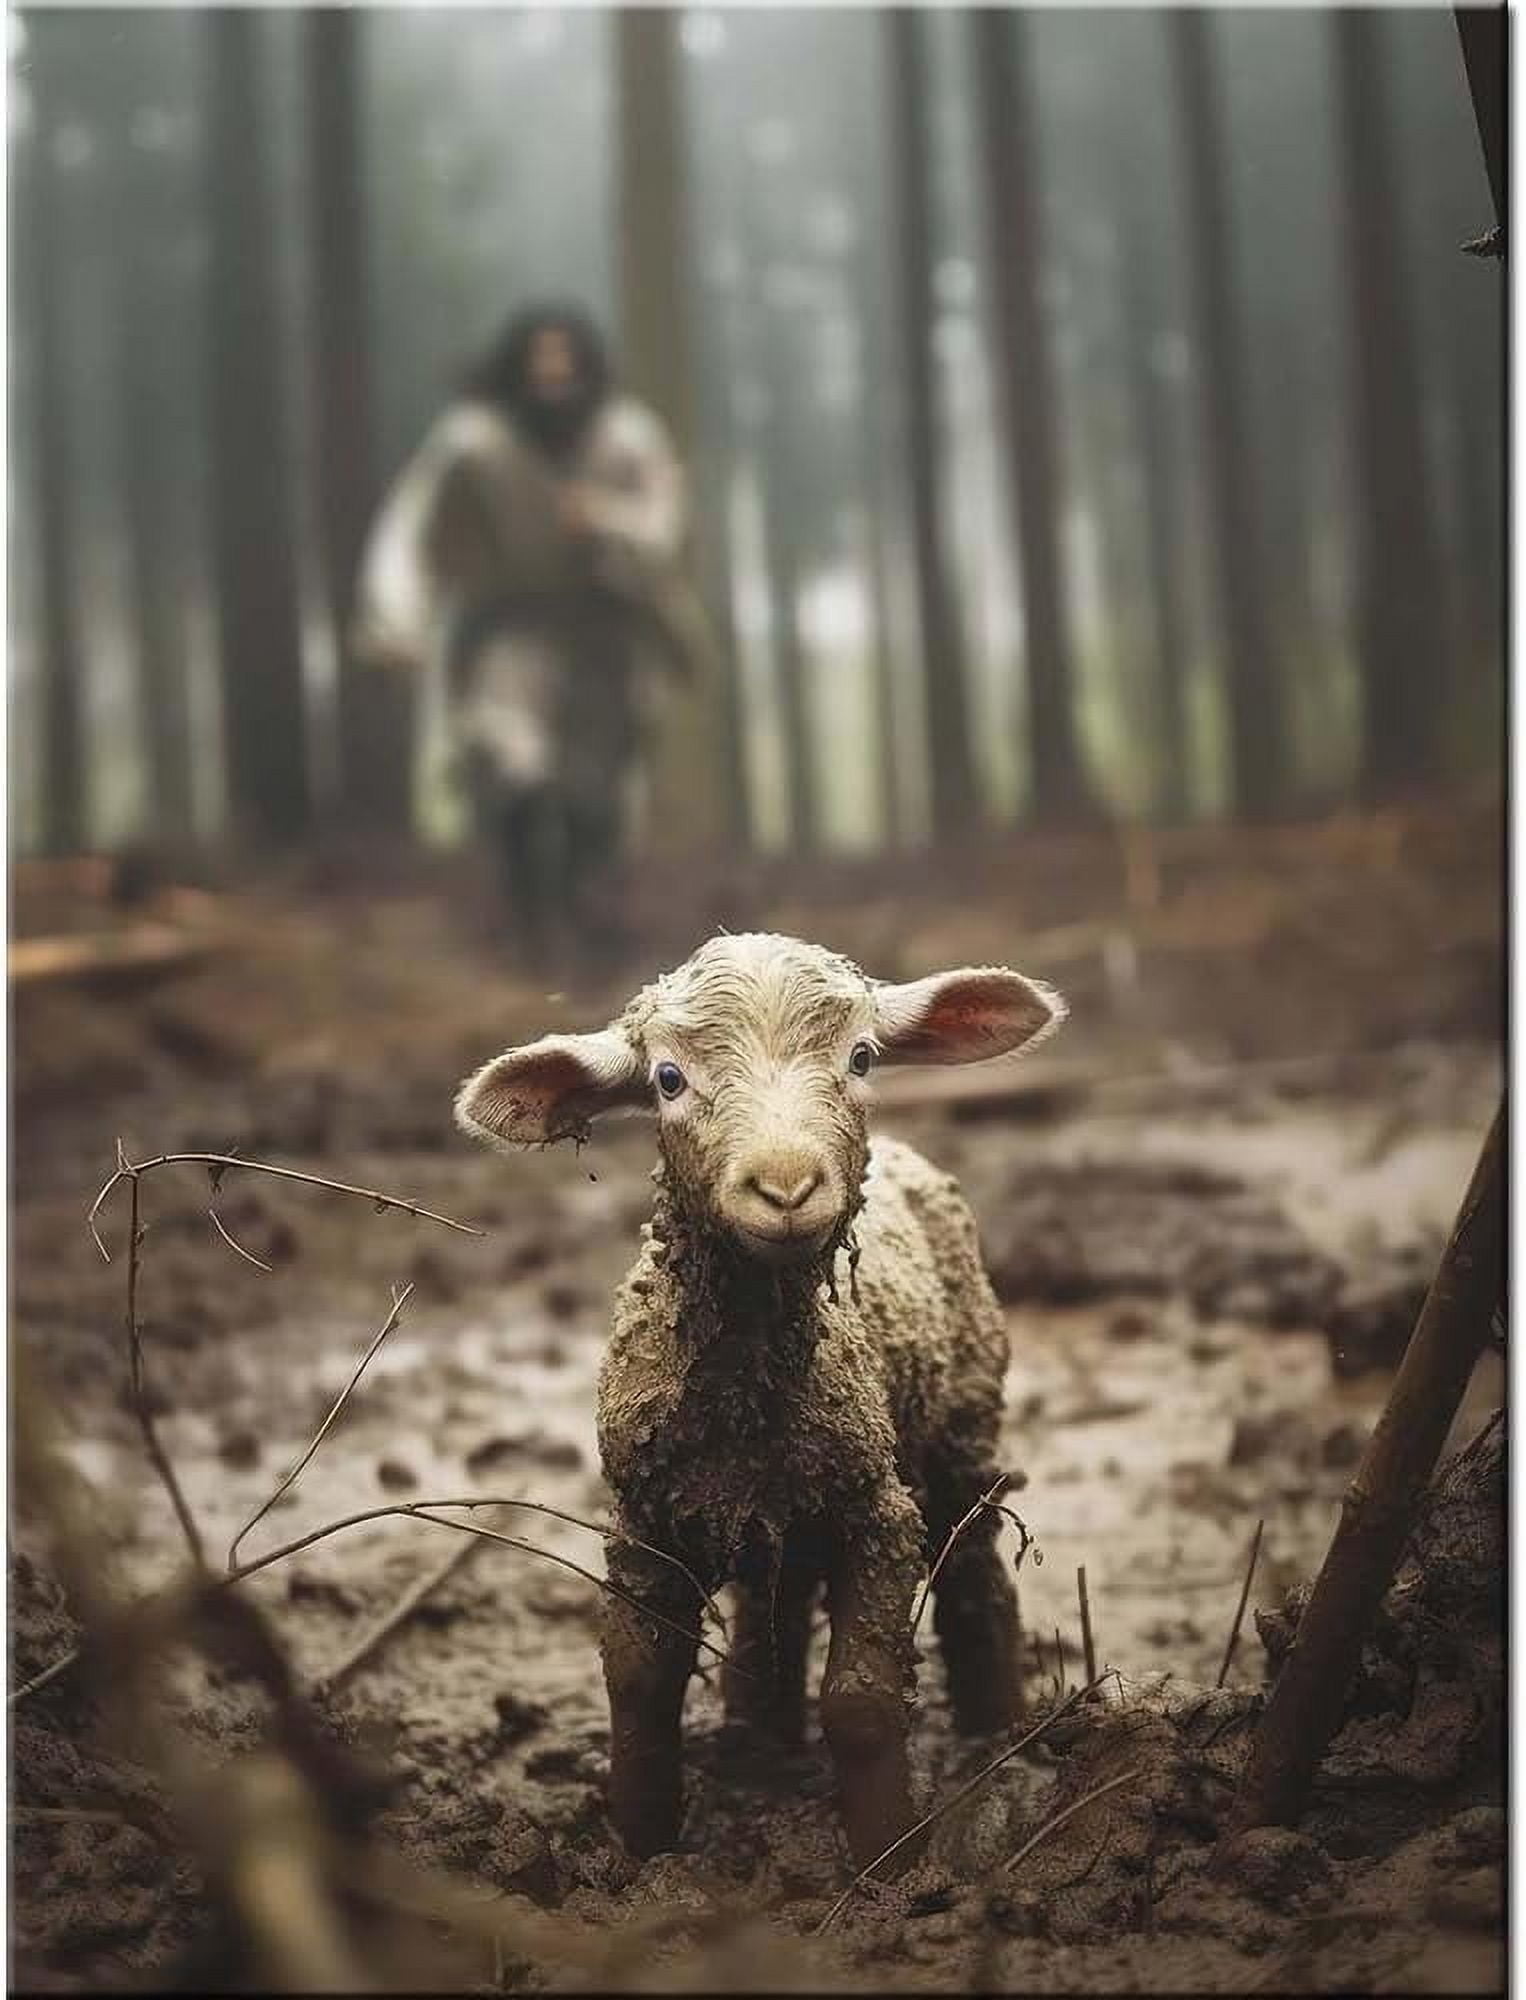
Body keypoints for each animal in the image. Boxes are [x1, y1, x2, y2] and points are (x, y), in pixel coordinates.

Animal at [455, 932, 1064, 1870]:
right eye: (668, 1078)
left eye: (861, 1057)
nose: (784, 1188)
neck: (748, 1393)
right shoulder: (645, 1520)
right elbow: (637, 1684)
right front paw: (639, 1850)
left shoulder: (876, 1509)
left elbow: (860, 1702)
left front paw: (888, 1864)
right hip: (776, 1507)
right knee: (773, 1600)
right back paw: (758, 1736)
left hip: (961, 1424)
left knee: (973, 1570)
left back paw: (1000, 1732)